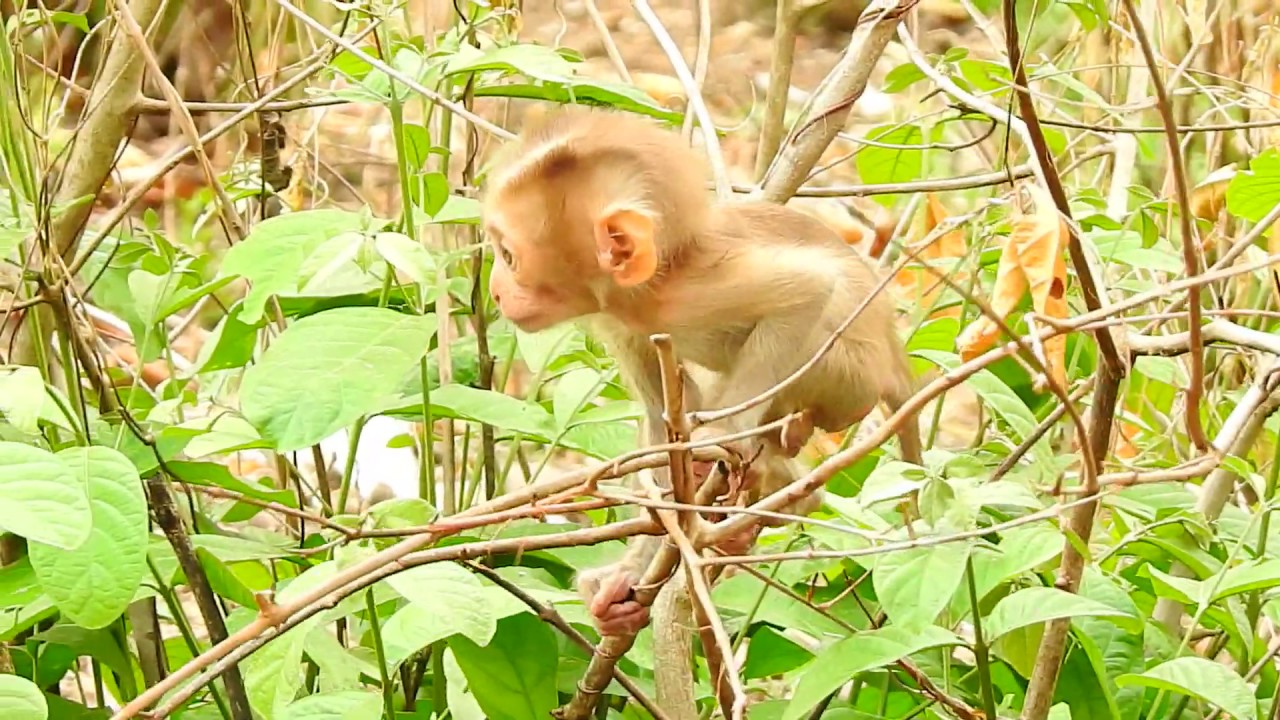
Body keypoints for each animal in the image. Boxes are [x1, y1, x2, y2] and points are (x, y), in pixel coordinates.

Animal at [480, 107, 922, 640]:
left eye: (508, 256)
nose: (496, 290)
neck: (651, 287)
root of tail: (895, 360)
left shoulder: (689, 294)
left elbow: (808, 289)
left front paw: (720, 435)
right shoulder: (625, 321)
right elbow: (666, 420)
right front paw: (628, 576)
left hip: (847, 376)